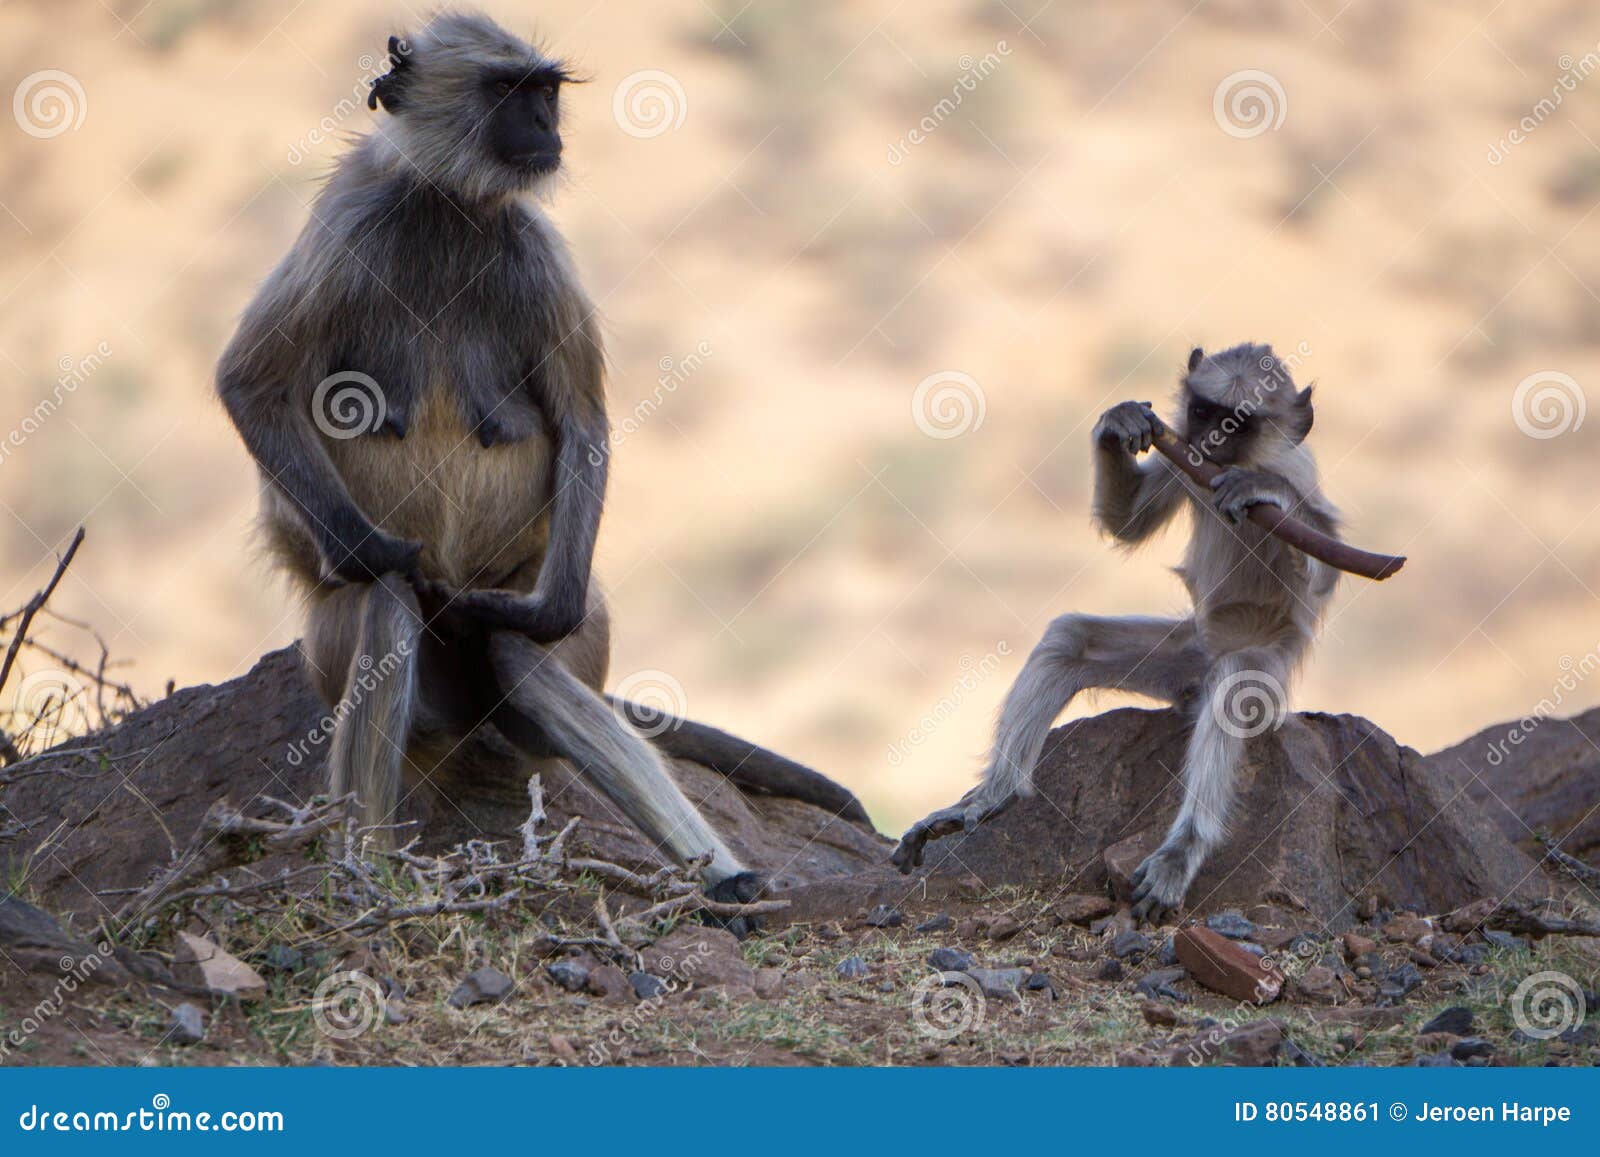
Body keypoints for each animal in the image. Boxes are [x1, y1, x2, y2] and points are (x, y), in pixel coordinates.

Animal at [215, 12, 865, 923]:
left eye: (544, 92)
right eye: (506, 91)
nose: (545, 128)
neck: (452, 204)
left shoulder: (535, 247)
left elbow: (583, 423)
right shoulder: (350, 219)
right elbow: (248, 382)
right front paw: (379, 553)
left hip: (546, 636)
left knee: (515, 646)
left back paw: (722, 875)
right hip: (335, 658)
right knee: (388, 606)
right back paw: (366, 869)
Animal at [895, 343, 1339, 922]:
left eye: (1238, 422)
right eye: (1203, 412)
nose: (1209, 440)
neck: (1237, 463)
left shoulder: (1294, 469)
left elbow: (1324, 567)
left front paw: (1264, 492)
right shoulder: (1187, 462)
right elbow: (1128, 524)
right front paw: (1118, 424)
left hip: (1269, 661)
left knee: (1236, 684)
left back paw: (1180, 852)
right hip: (1186, 651)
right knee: (1070, 638)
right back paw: (995, 796)